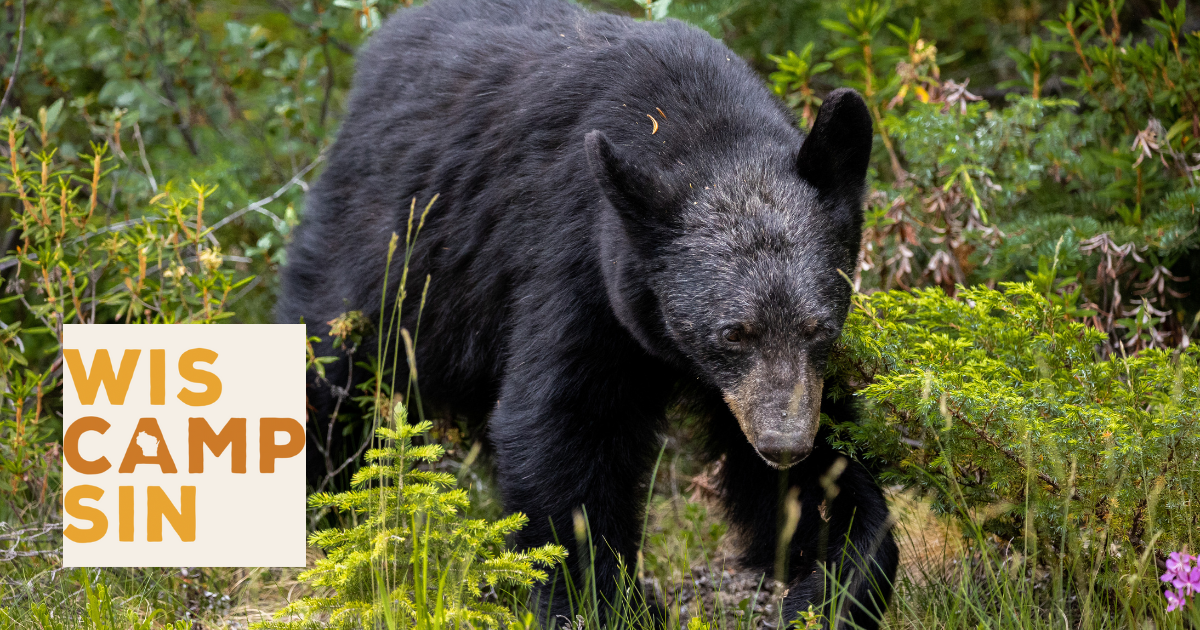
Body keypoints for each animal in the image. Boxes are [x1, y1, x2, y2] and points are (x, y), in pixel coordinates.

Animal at [277, 0, 899, 627]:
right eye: (733, 333)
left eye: (820, 327)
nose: (783, 444)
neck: (698, 127)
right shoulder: (577, 262)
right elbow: (562, 425)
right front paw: (600, 600)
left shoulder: (774, 383)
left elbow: (817, 474)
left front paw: (831, 582)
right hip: (389, 254)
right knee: (328, 369)